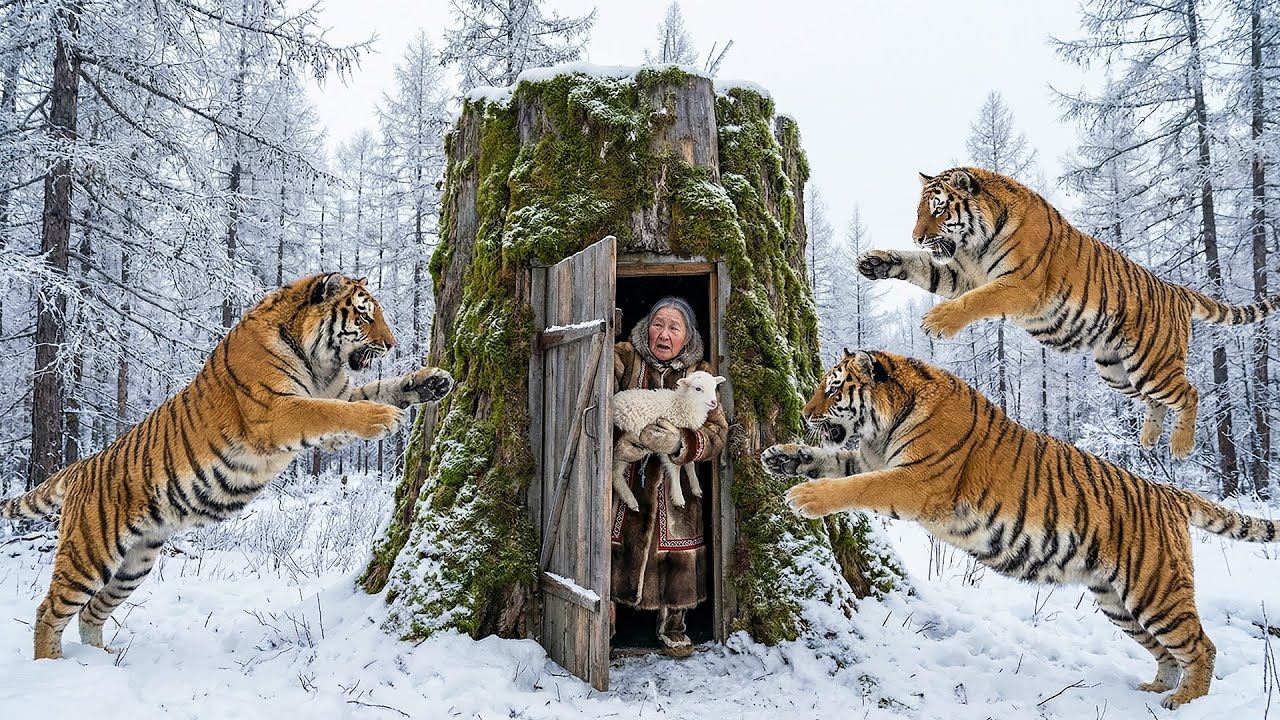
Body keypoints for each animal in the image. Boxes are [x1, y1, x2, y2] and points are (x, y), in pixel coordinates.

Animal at [1, 272, 453, 660]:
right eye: (363, 314)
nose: (392, 344)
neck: (319, 362)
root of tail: (81, 465)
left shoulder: (335, 394)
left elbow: (378, 388)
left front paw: (430, 381)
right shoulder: (278, 411)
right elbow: (332, 411)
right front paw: (383, 418)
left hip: (135, 563)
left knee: (91, 611)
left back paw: (102, 660)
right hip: (91, 552)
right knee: (50, 609)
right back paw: (53, 665)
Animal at [761, 349, 1280, 709]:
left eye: (833, 390)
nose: (804, 414)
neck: (885, 427)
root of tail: (1169, 492)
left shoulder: (914, 480)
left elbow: (856, 485)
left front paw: (805, 498)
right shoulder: (875, 459)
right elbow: (836, 461)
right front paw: (782, 457)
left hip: (1156, 589)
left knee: (1201, 644)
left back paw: (1184, 700)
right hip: (1118, 602)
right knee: (1165, 651)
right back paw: (1155, 687)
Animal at [857, 167, 1280, 459]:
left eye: (940, 210)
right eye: (920, 212)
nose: (916, 236)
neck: (975, 242)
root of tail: (1175, 289)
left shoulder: (1017, 285)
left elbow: (974, 302)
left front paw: (937, 322)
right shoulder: (960, 272)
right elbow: (919, 266)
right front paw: (877, 262)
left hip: (1153, 363)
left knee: (1190, 392)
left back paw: (1180, 446)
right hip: (1118, 371)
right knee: (1156, 400)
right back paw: (1148, 439)